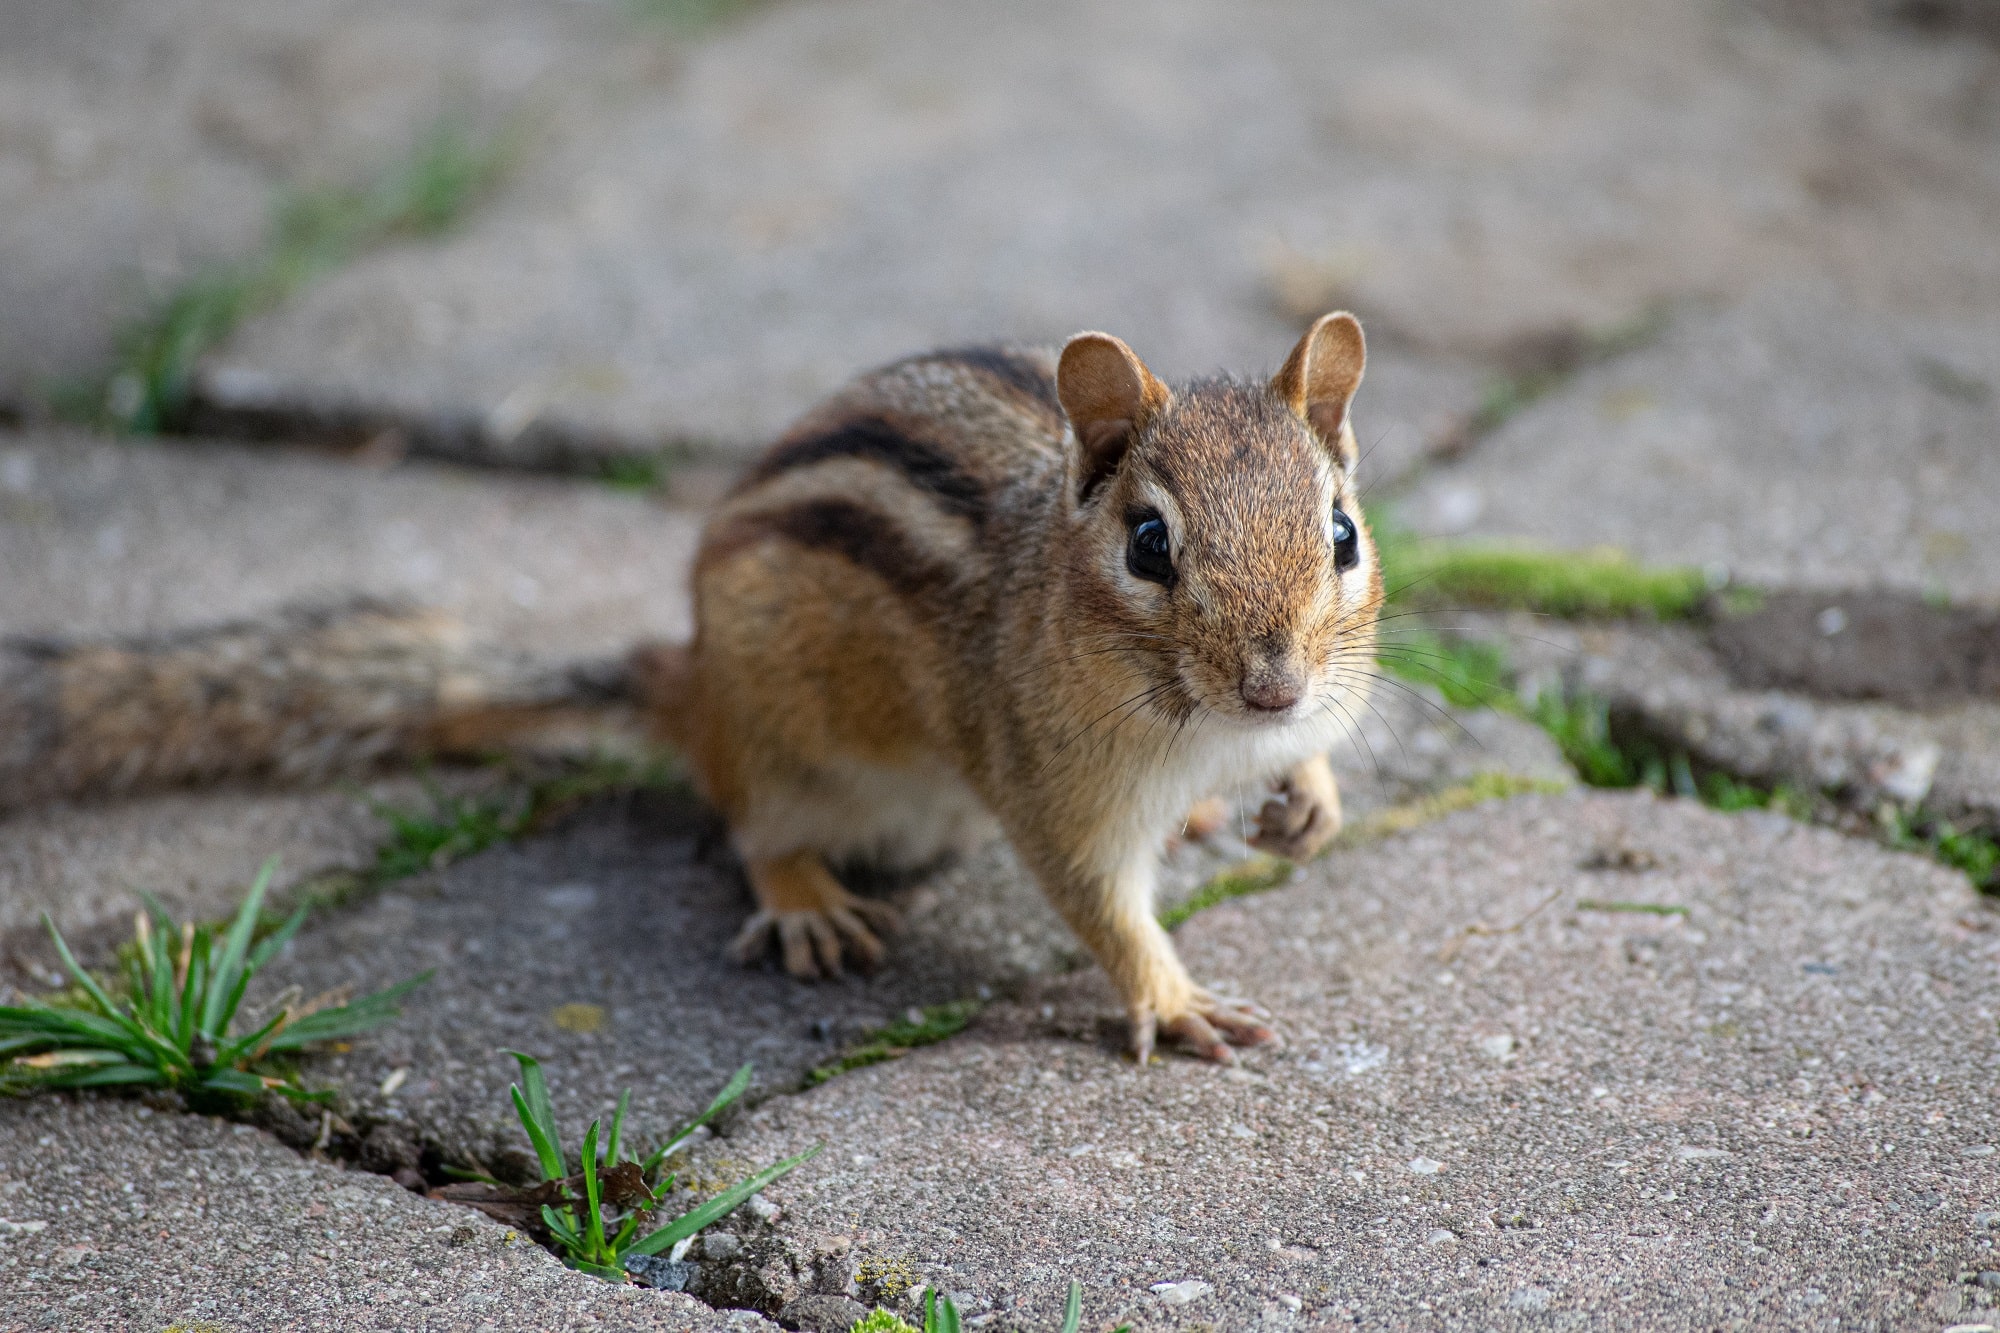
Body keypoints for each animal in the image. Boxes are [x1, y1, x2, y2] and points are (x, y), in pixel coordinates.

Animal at [635, 313, 1381, 1064]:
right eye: (1148, 545)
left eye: (1343, 533)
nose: (1276, 691)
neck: (1216, 737)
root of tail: (692, 682)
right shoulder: (1054, 794)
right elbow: (1106, 910)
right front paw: (1176, 1002)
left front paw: (1312, 807)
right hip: (768, 745)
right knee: (760, 833)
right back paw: (809, 907)